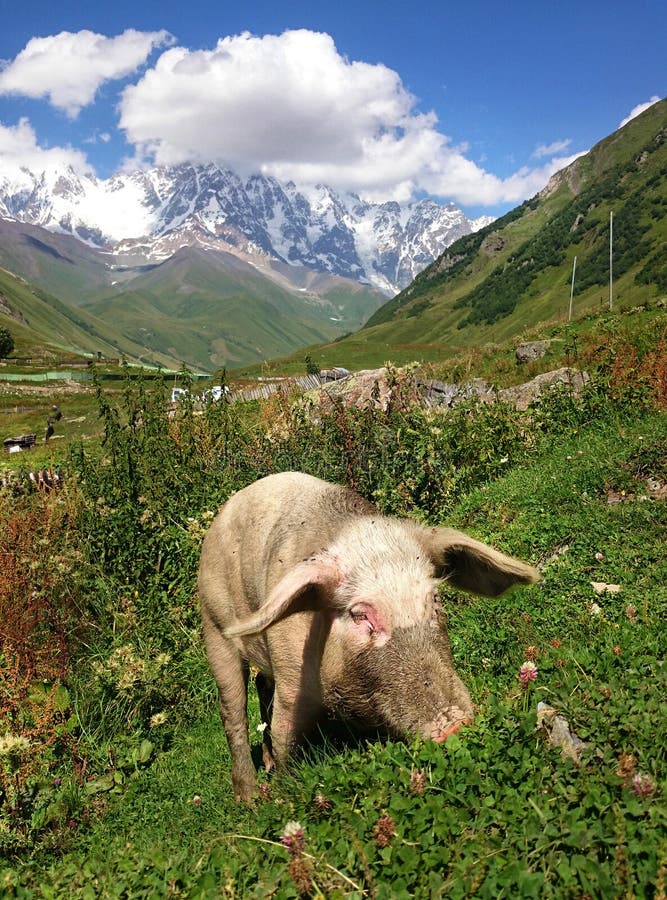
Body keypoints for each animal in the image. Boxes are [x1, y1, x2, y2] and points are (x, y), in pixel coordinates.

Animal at [198, 471, 539, 801]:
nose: (455, 724)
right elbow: (286, 735)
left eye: (434, 599)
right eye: (360, 615)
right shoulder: (291, 671)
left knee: (260, 683)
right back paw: (248, 797)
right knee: (232, 710)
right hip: (214, 628)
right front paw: (282, 794)